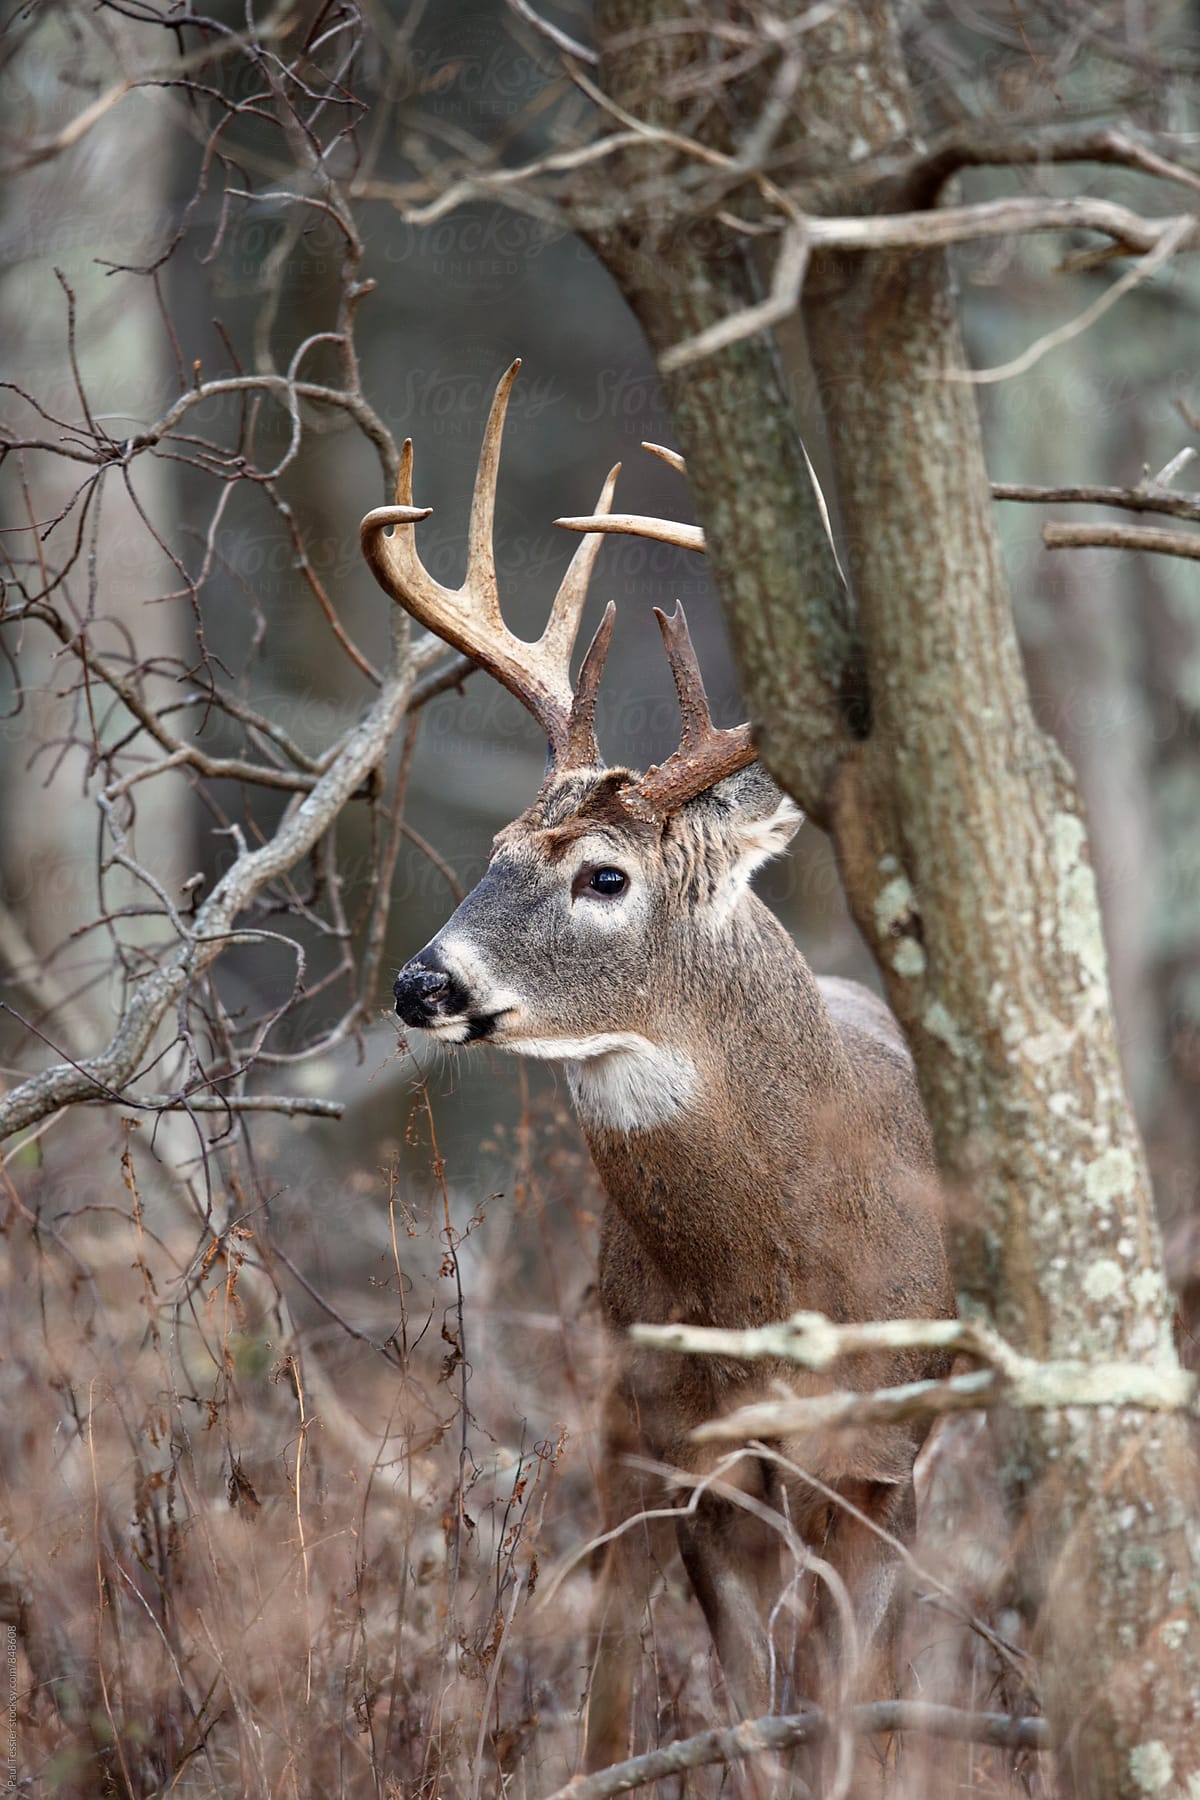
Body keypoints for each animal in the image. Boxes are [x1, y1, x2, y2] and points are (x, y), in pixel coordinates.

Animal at [363, 362, 955, 1775]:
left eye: (604, 875)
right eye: (493, 849)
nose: (422, 984)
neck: (765, 1290)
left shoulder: (871, 1461)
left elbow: (825, 1721)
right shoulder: (666, 1460)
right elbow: (695, 1721)